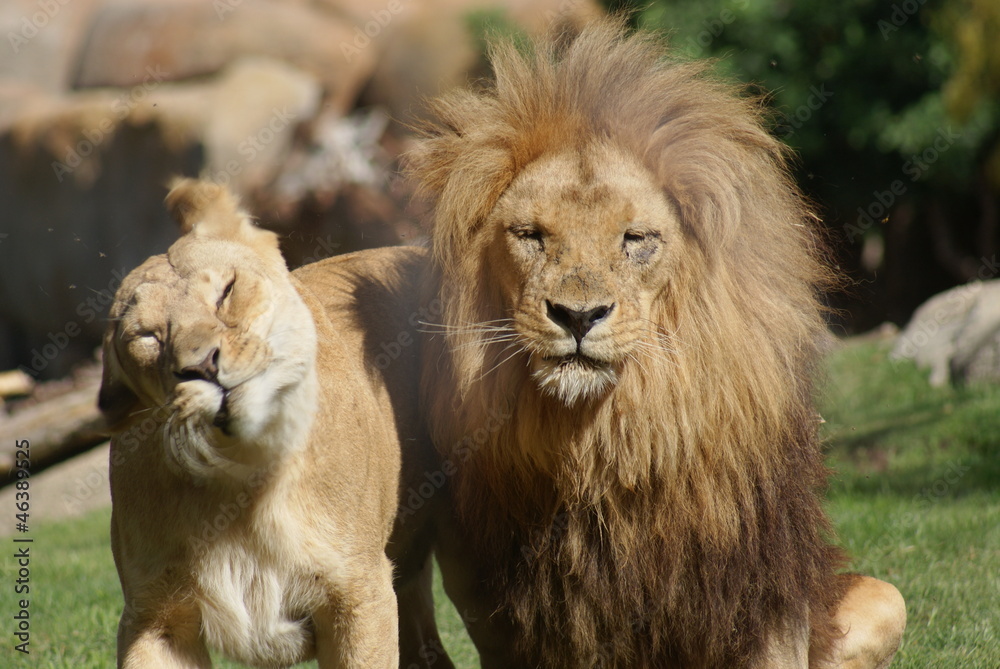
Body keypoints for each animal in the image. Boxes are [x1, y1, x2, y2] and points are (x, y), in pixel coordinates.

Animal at [100, 179, 402, 668]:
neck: (241, 477)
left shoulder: (360, 592)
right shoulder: (153, 618)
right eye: (146, 337)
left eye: (226, 291)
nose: (202, 365)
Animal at [404, 18, 907, 669]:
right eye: (531, 236)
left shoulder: (760, 594)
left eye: (636, 238)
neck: (612, 438)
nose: (578, 315)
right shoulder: (507, 610)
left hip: (882, 600)